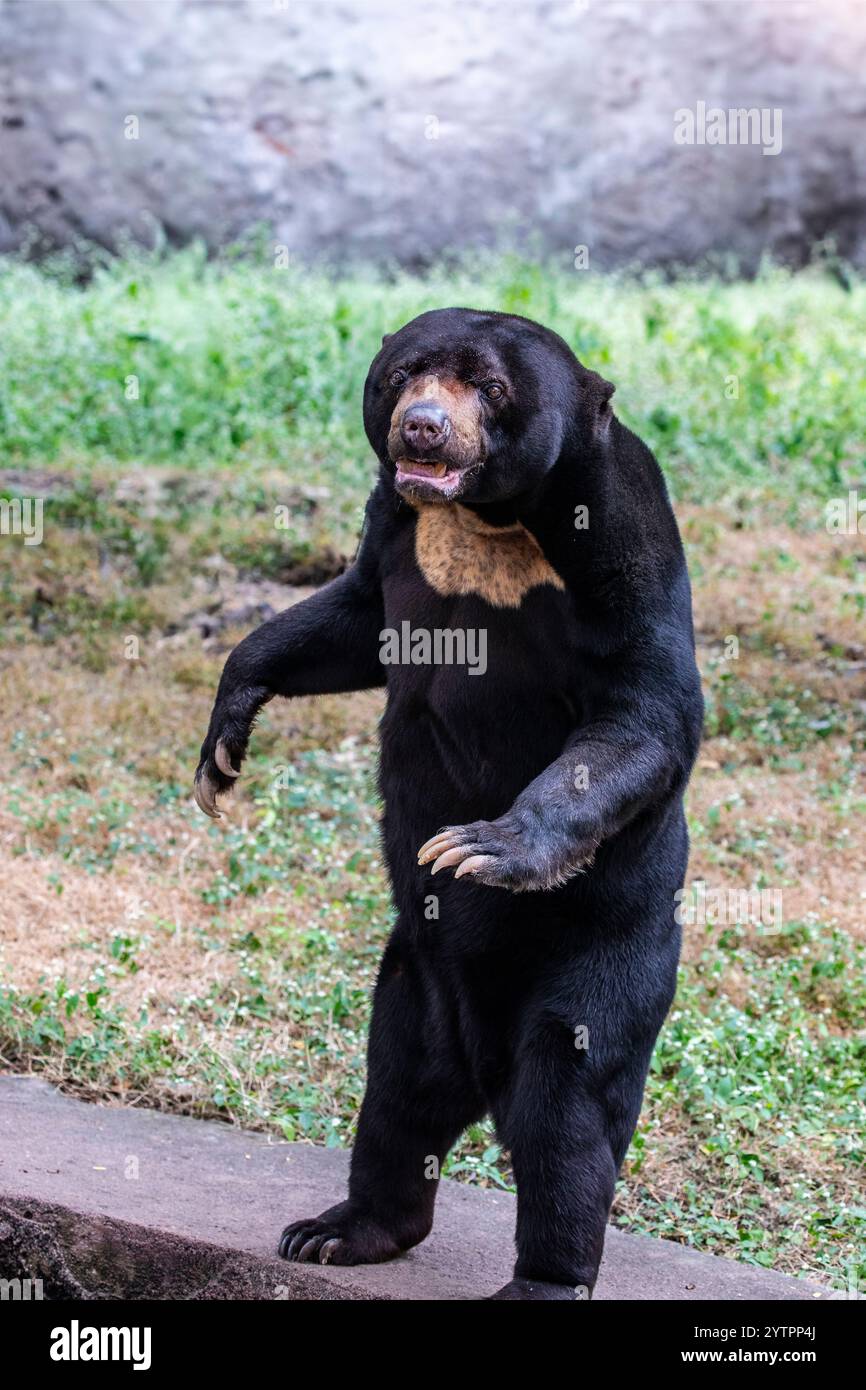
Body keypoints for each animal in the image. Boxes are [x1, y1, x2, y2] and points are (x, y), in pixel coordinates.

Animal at [194, 307, 704, 1300]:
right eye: (405, 375)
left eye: (492, 388)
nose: (423, 428)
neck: (484, 517)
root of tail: (483, 1068)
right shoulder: (393, 525)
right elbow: (351, 619)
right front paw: (223, 746)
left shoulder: (624, 532)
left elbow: (646, 710)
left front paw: (481, 846)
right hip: (413, 981)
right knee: (397, 1092)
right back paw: (339, 1230)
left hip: (608, 948)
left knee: (566, 1110)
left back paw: (541, 1278)